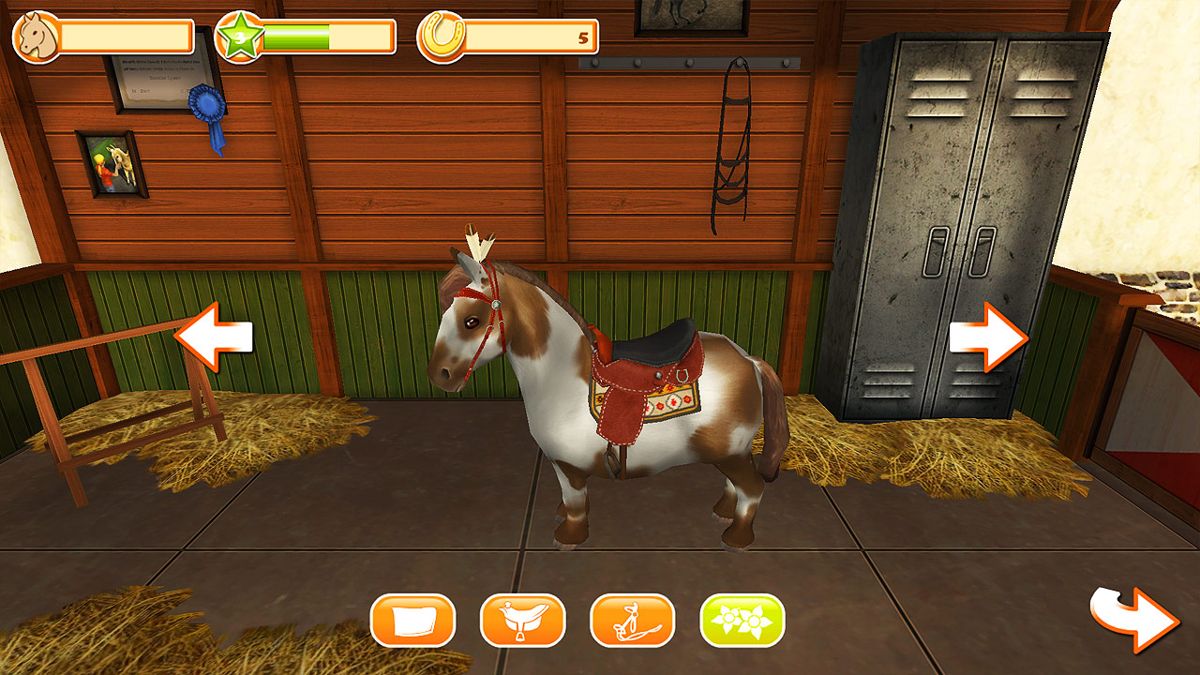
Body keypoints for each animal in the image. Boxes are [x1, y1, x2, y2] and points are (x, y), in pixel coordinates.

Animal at [427, 242, 789, 551]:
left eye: (472, 321)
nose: (439, 375)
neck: (560, 378)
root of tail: (749, 359)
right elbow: (569, 500)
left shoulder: (569, 466)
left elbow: (575, 502)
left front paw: (569, 537)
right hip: (732, 451)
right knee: (735, 485)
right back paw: (722, 511)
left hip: (731, 453)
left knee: (752, 489)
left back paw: (736, 537)